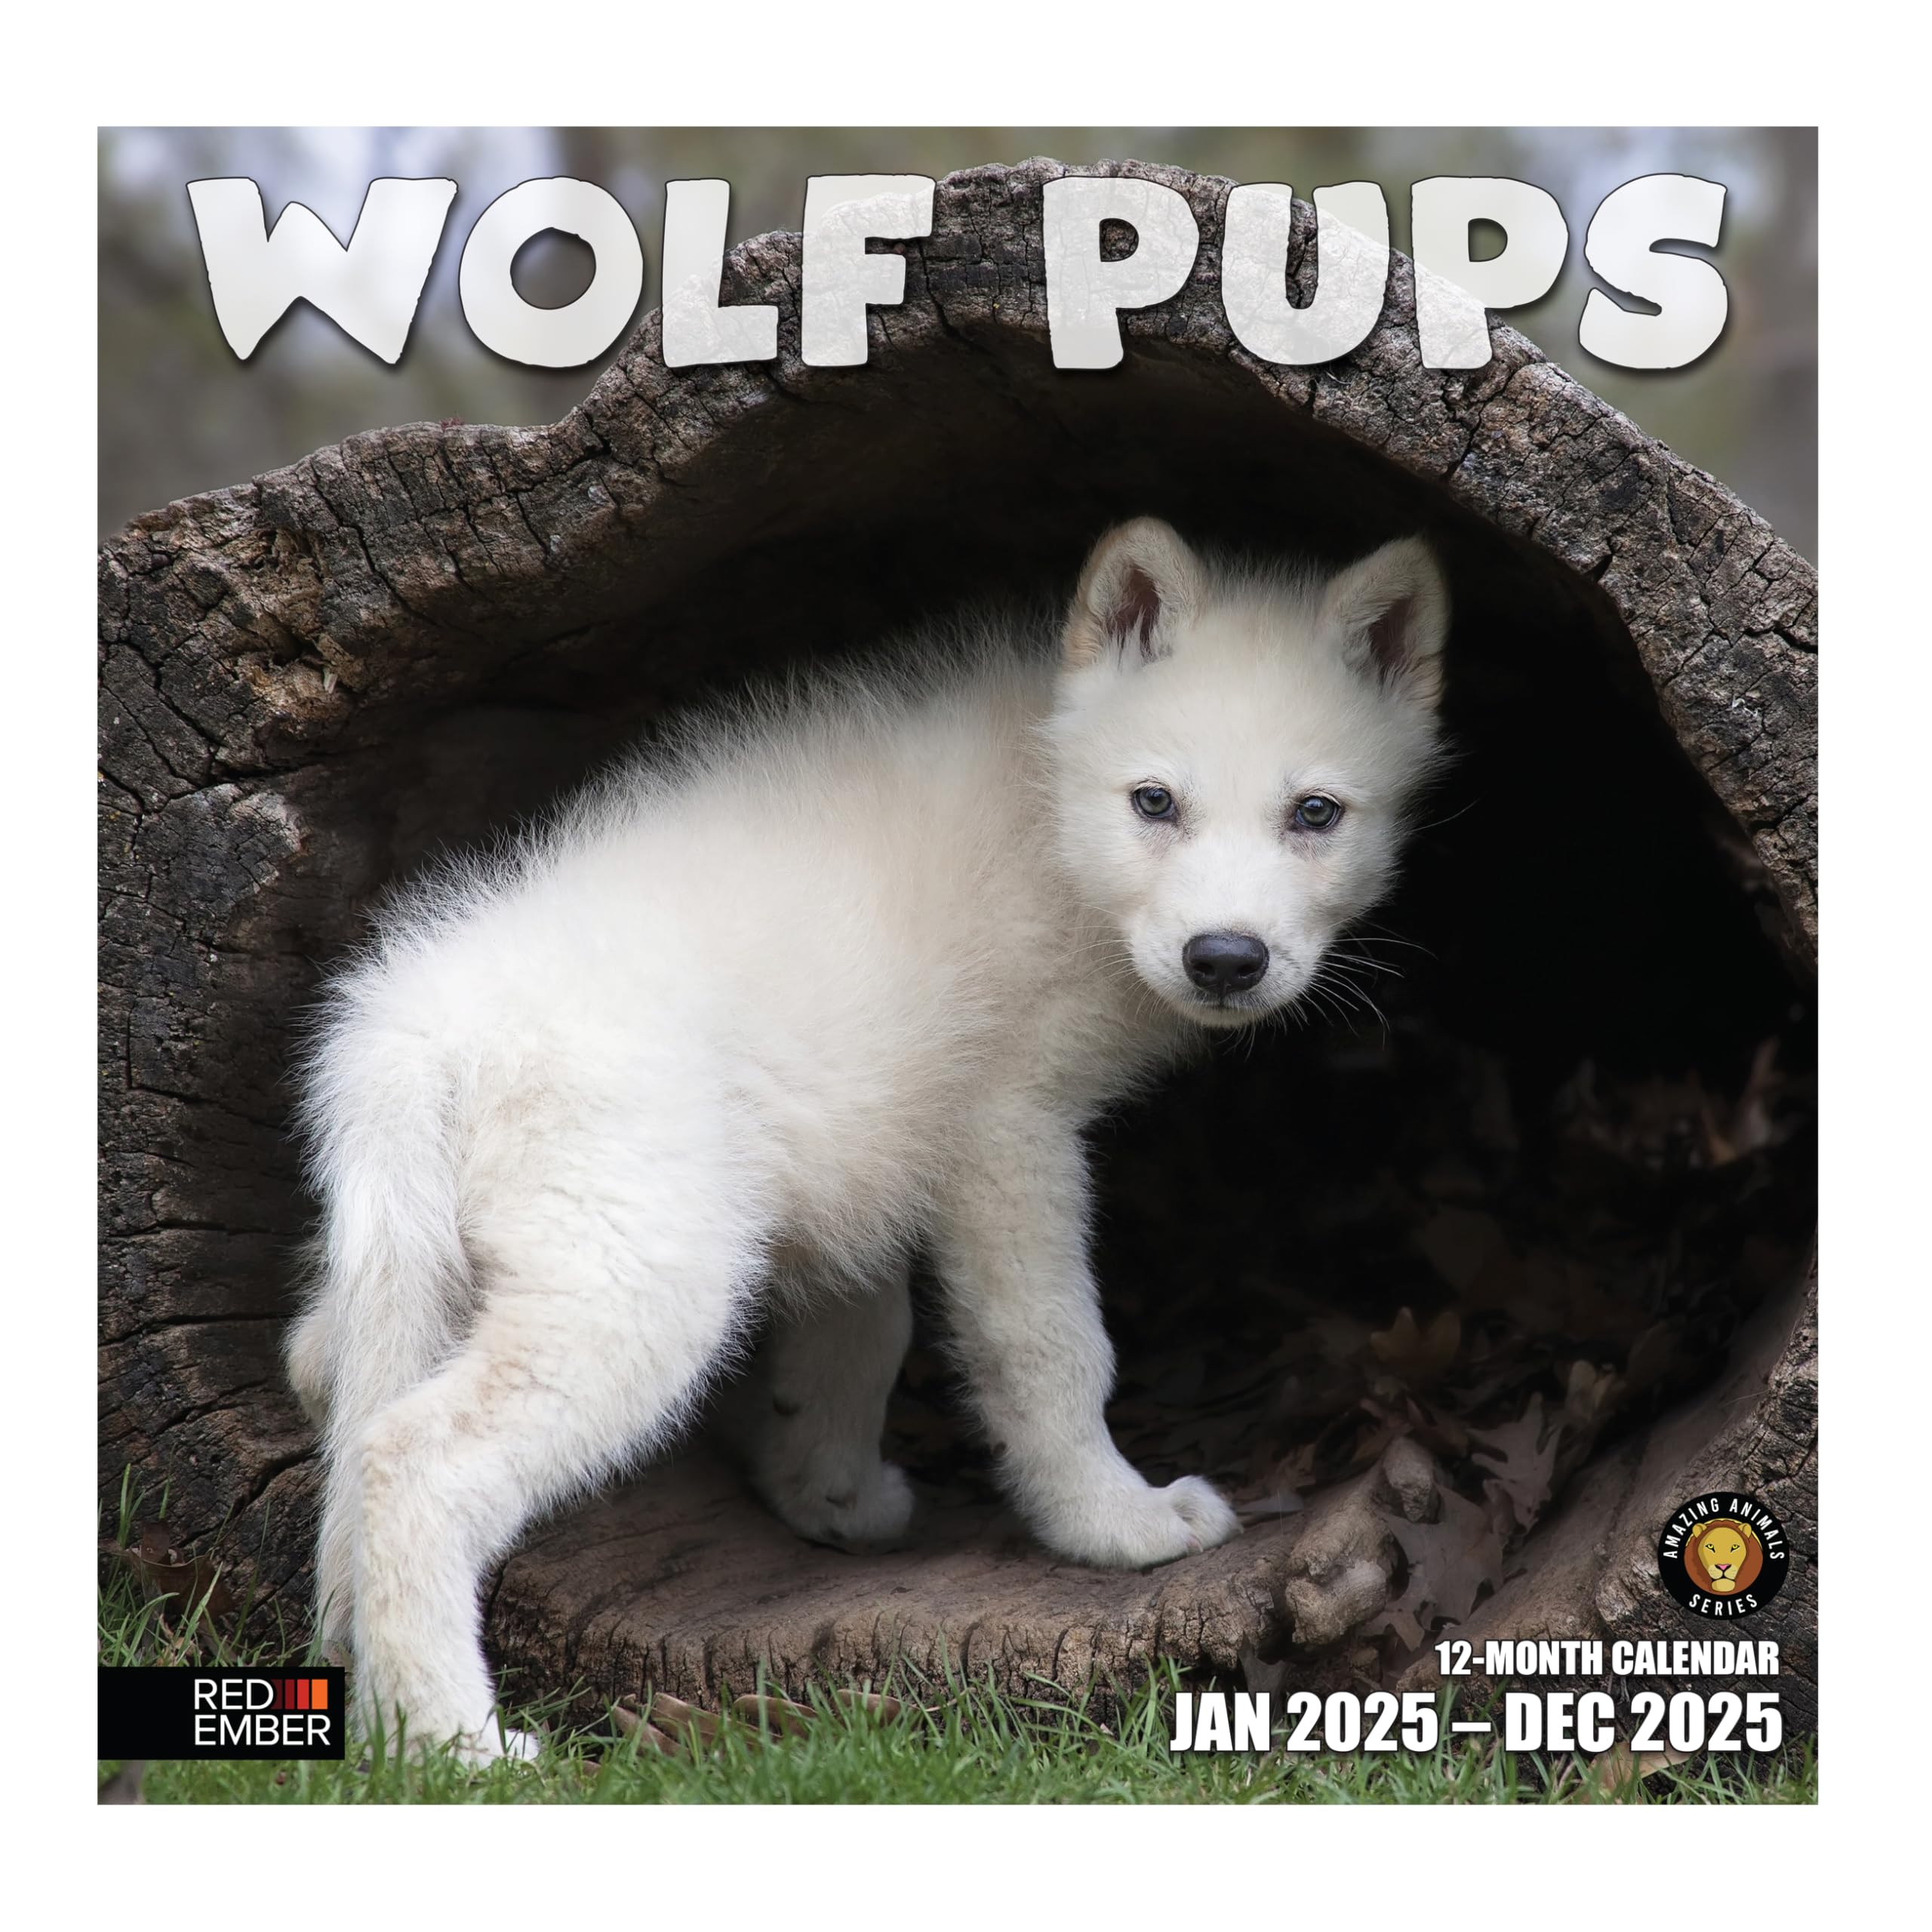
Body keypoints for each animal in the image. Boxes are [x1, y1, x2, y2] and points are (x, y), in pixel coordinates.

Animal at [284, 517, 1451, 1759]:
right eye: (1154, 802)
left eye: (1316, 814)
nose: (1225, 959)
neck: (1049, 813)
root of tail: (419, 1029)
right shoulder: (1008, 1131)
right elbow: (1050, 1350)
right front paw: (1112, 1524)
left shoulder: (876, 1133)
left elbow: (863, 1326)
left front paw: (828, 1490)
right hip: (638, 1286)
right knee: (410, 1462)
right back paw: (450, 1745)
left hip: (443, 1266)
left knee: (321, 1374)